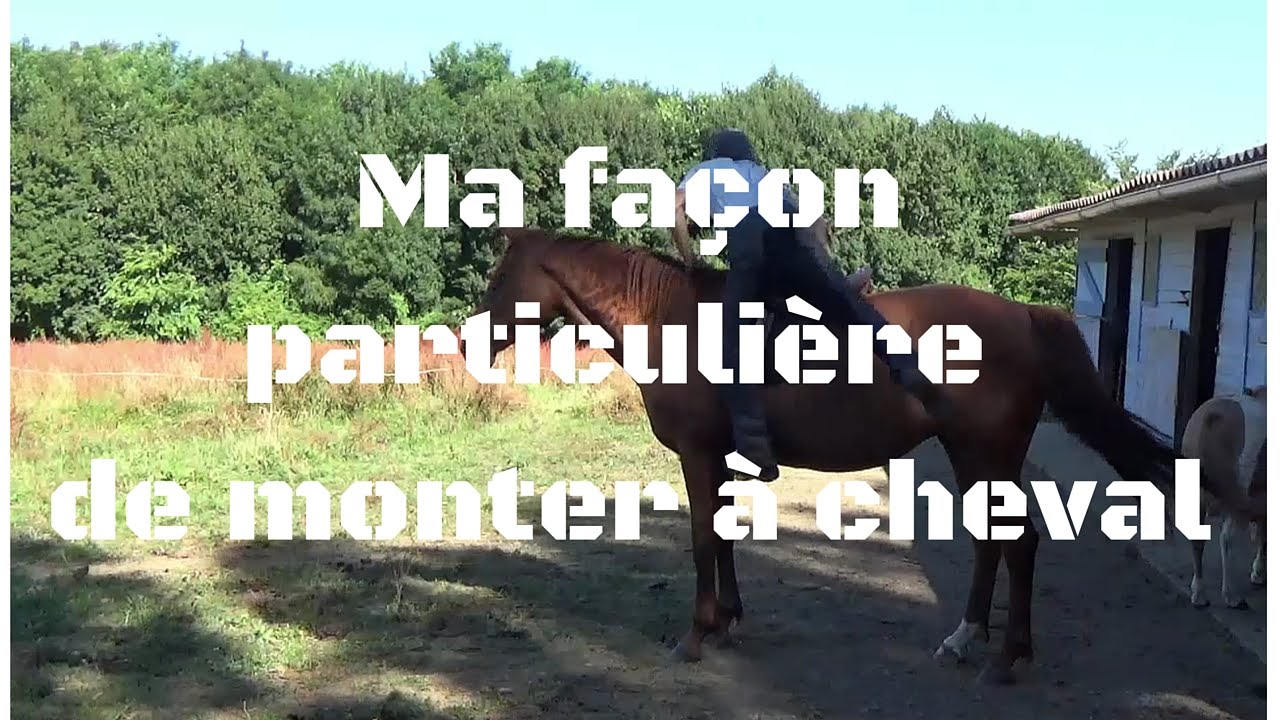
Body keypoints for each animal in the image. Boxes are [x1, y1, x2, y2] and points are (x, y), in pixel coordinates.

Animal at [1179, 385, 1267, 609]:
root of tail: (1212, 416)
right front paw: (1258, 573)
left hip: (1198, 496)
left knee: (1198, 538)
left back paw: (1199, 593)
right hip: (1237, 496)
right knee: (1227, 539)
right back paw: (1230, 596)